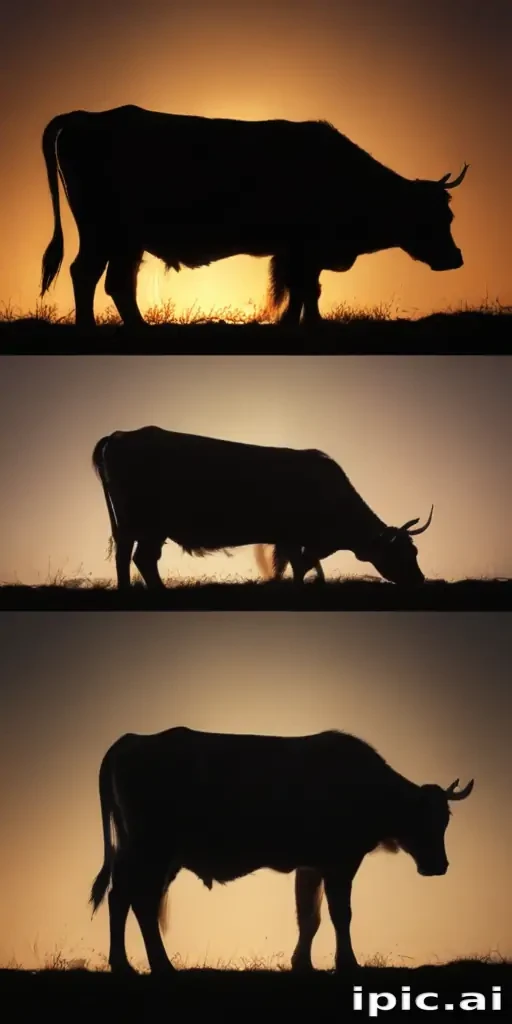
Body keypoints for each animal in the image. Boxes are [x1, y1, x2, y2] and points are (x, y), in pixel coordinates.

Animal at [40, 105, 469, 329]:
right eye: (436, 216)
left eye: (448, 213)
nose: (456, 258)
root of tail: (88, 115)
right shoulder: (302, 248)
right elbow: (304, 289)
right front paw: (304, 326)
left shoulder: (298, 252)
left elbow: (305, 290)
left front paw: (302, 324)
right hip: (105, 232)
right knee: (90, 275)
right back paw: (94, 329)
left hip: (123, 240)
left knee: (114, 282)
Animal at [89, 725, 474, 974]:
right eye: (424, 819)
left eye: (446, 820)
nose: (439, 865)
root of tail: (131, 740)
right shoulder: (340, 862)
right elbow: (340, 913)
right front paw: (347, 963)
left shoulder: (310, 865)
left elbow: (309, 916)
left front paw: (302, 963)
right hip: (152, 848)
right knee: (135, 899)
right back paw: (151, 966)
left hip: (154, 854)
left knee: (127, 898)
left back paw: (132, 964)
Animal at [91, 426, 434, 588]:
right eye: (400, 553)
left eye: (415, 551)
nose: (420, 580)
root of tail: (119, 435)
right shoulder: (293, 538)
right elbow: (298, 567)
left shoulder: (295, 541)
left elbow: (303, 567)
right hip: (145, 524)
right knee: (137, 558)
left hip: (141, 527)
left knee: (136, 558)